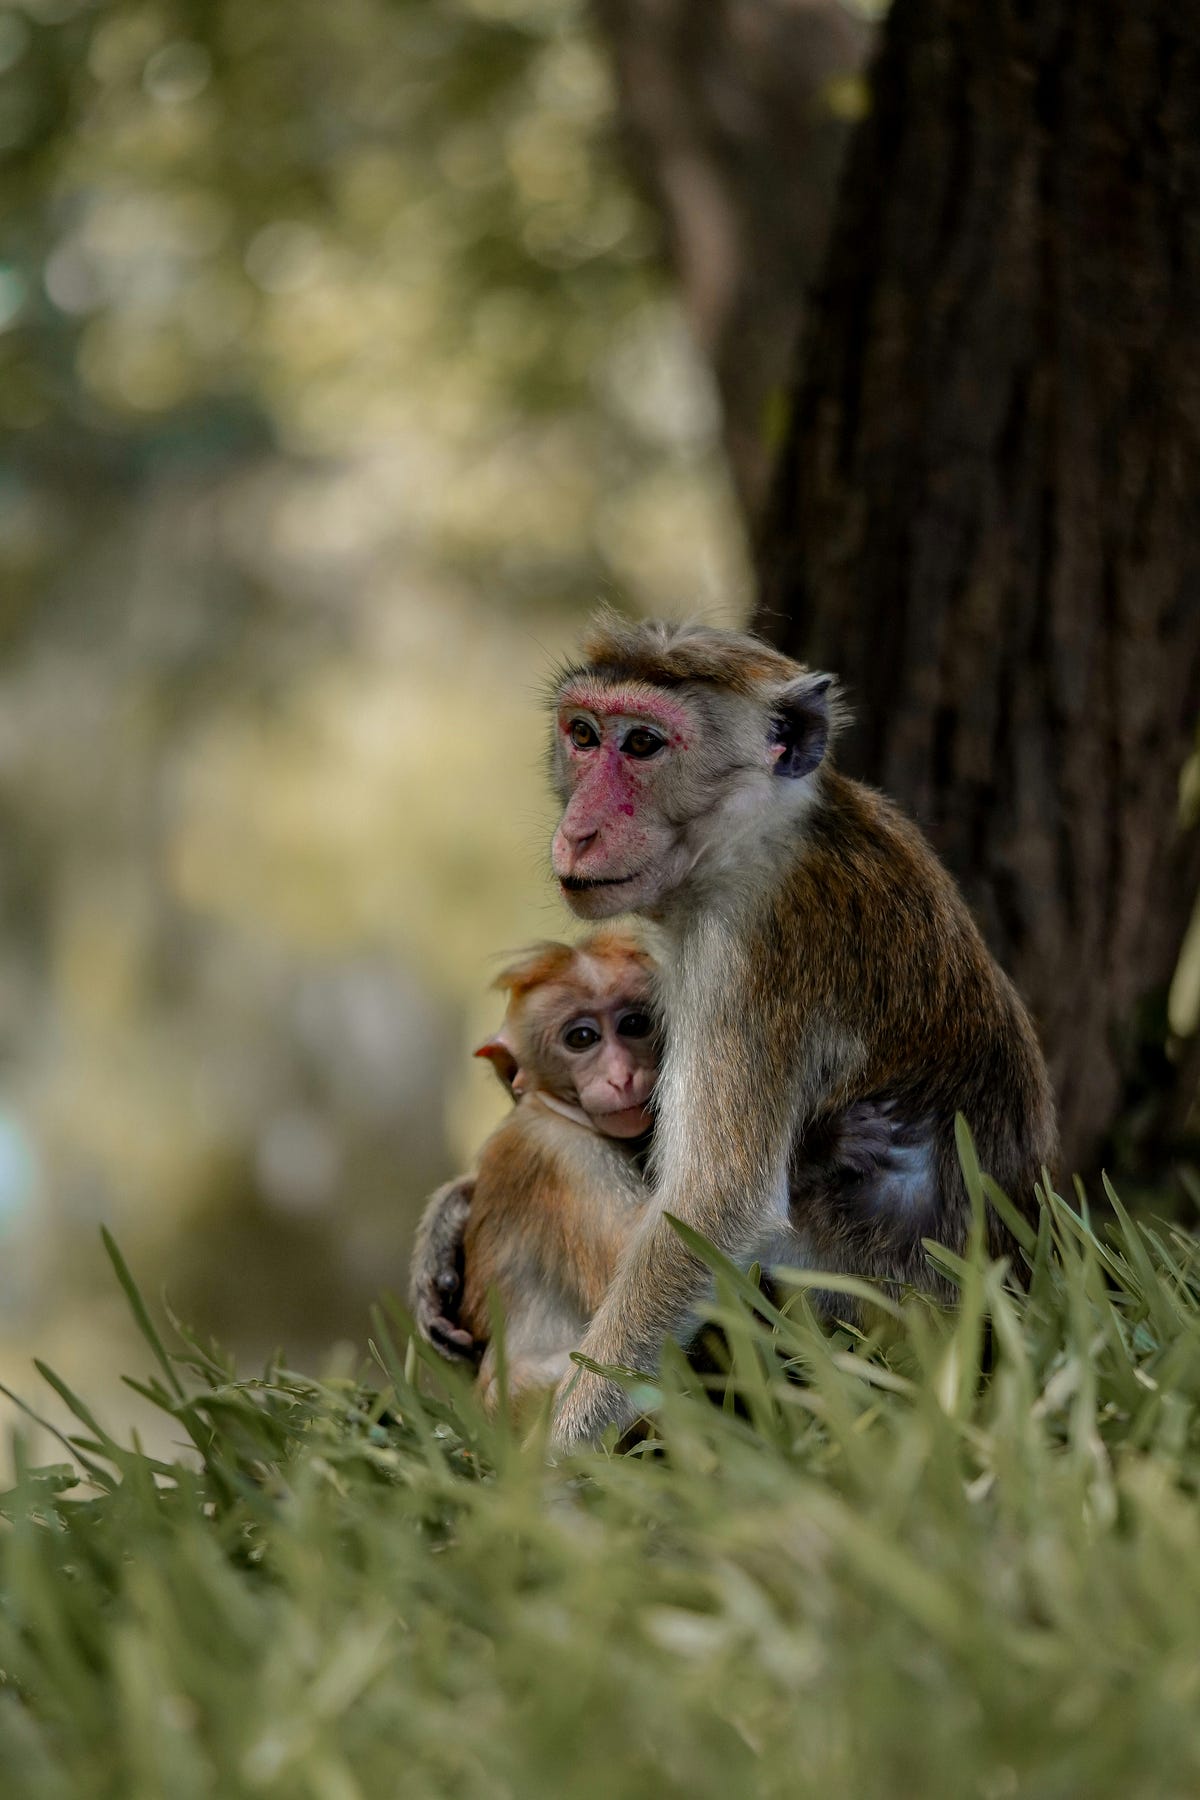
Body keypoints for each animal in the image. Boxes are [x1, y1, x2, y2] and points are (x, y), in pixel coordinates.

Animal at [545, 614, 1059, 1447]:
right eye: (584, 735)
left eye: (645, 744)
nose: (578, 832)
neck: (757, 835)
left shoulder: (750, 954)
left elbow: (714, 1210)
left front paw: (549, 1458)